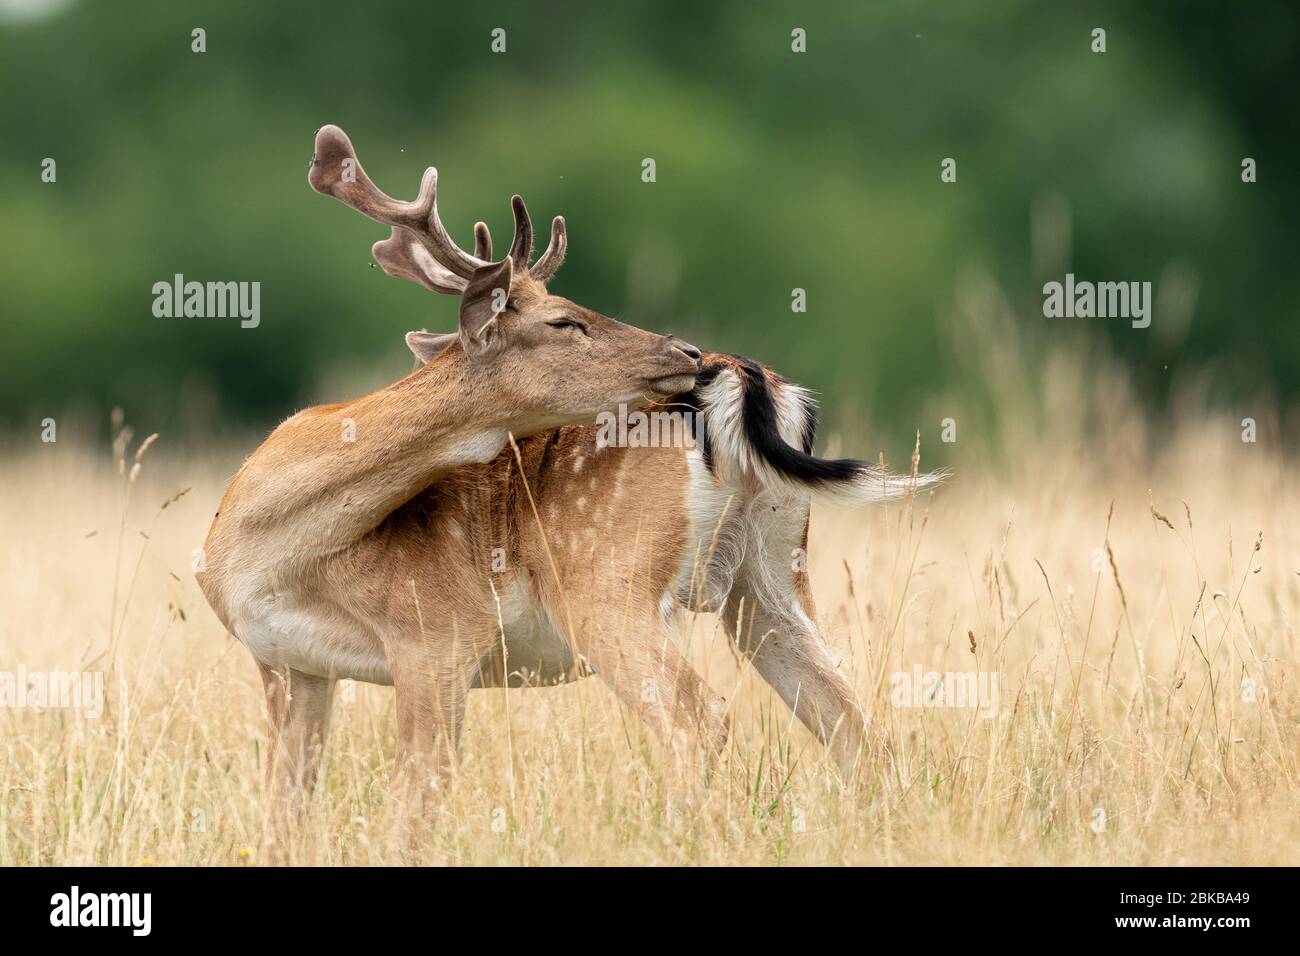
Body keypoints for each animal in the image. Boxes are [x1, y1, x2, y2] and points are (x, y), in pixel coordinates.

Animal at [196, 125, 942, 847]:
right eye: (564, 320)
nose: (685, 353)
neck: (271, 553)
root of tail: (746, 378)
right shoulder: (289, 665)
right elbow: (286, 815)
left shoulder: (437, 635)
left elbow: (416, 804)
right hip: (770, 575)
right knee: (858, 728)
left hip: (605, 579)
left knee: (699, 718)